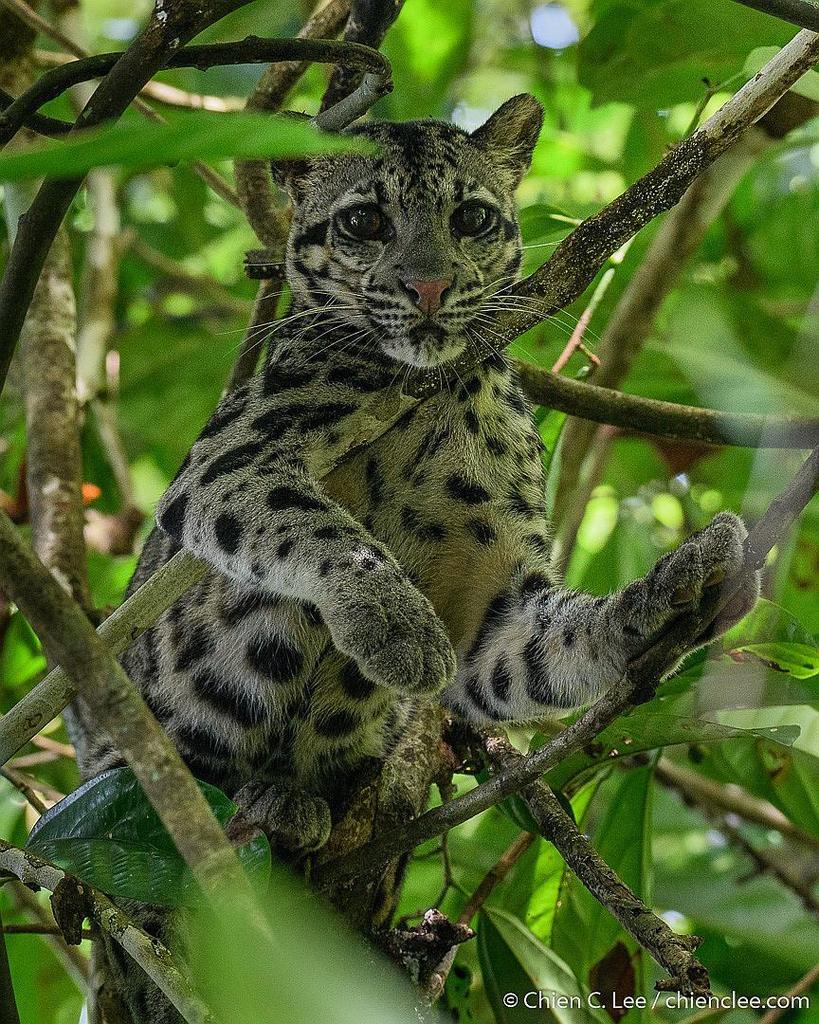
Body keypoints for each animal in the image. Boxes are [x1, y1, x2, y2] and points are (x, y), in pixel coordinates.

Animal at [81, 95, 759, 1021]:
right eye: (364, 222)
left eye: (469, 218)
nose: (428, 286)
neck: (437, 399)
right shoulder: (229, 462)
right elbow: (318, 528)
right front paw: (393, 626)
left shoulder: (494, 605)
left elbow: (556, 641)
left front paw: (674, 584)